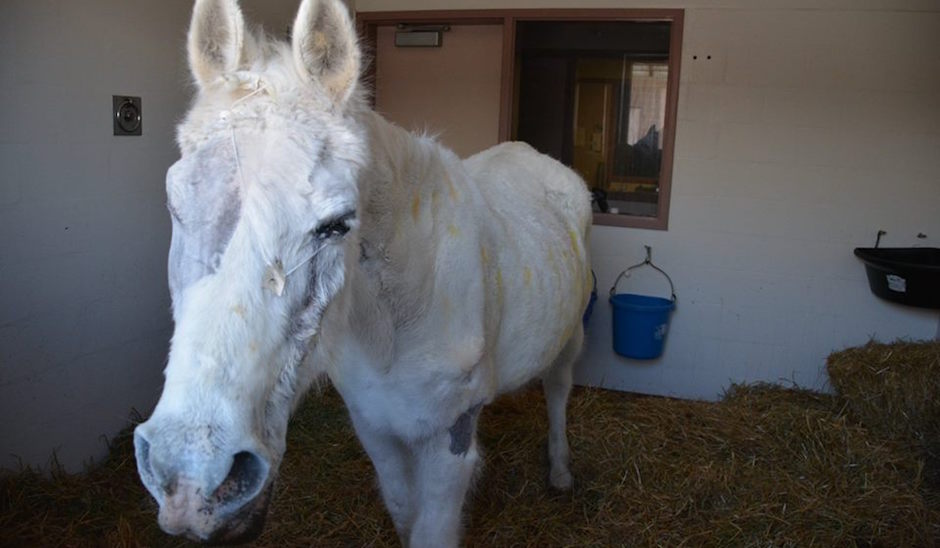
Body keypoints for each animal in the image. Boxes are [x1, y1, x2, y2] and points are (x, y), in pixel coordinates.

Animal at [133, 0, 593, 545]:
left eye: (336, 224)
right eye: (174, 204)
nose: (192, 478)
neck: (395, 323)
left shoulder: (449, 445)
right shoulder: (376, 430)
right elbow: (403, 510)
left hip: (571, 338)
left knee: (559, 390)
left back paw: (561, 473)